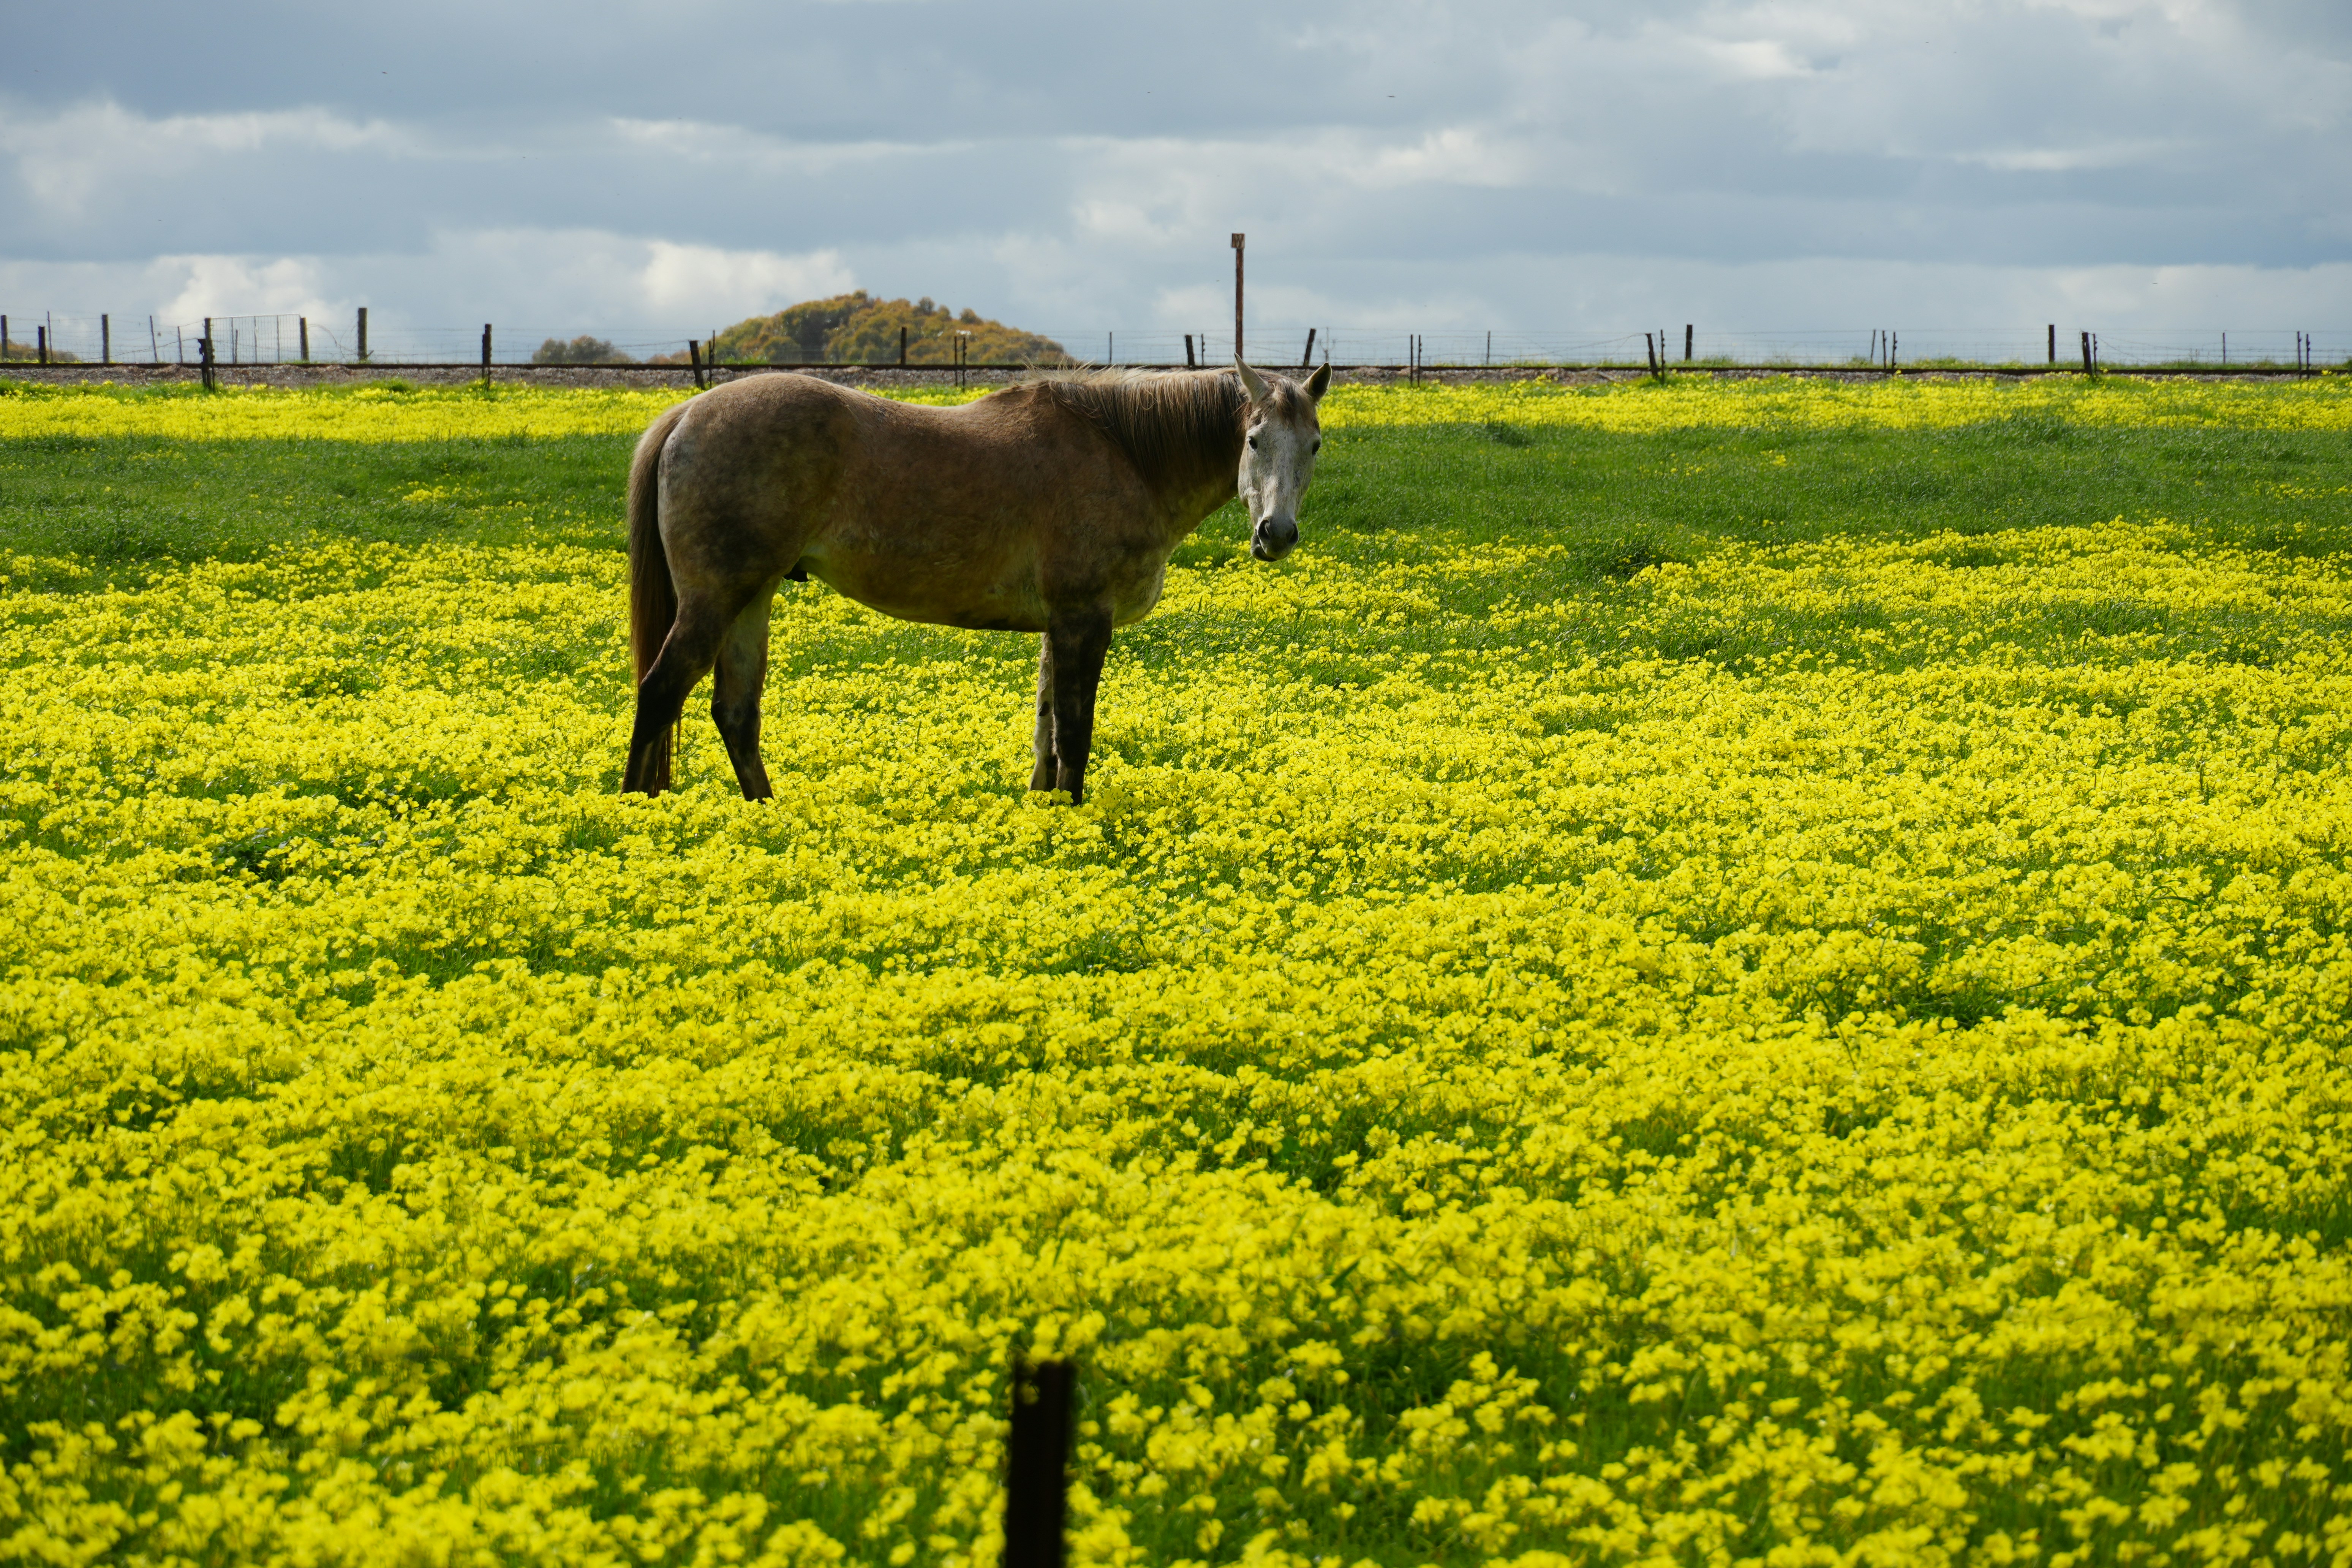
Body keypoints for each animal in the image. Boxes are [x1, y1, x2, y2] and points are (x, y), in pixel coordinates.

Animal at [621, 358, 1330, 804]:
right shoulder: (1083, 618)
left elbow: (1047, 730)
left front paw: (1046, 807)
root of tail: (686, 413)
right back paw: (632, 811)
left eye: (1315, 445)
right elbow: (1075, 729)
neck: (1125, 453)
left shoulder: (1059, 624)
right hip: (715, 599)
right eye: (1254, 440)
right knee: (660, 693)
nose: (1276, 533)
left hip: (752, 597)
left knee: (735, 713)